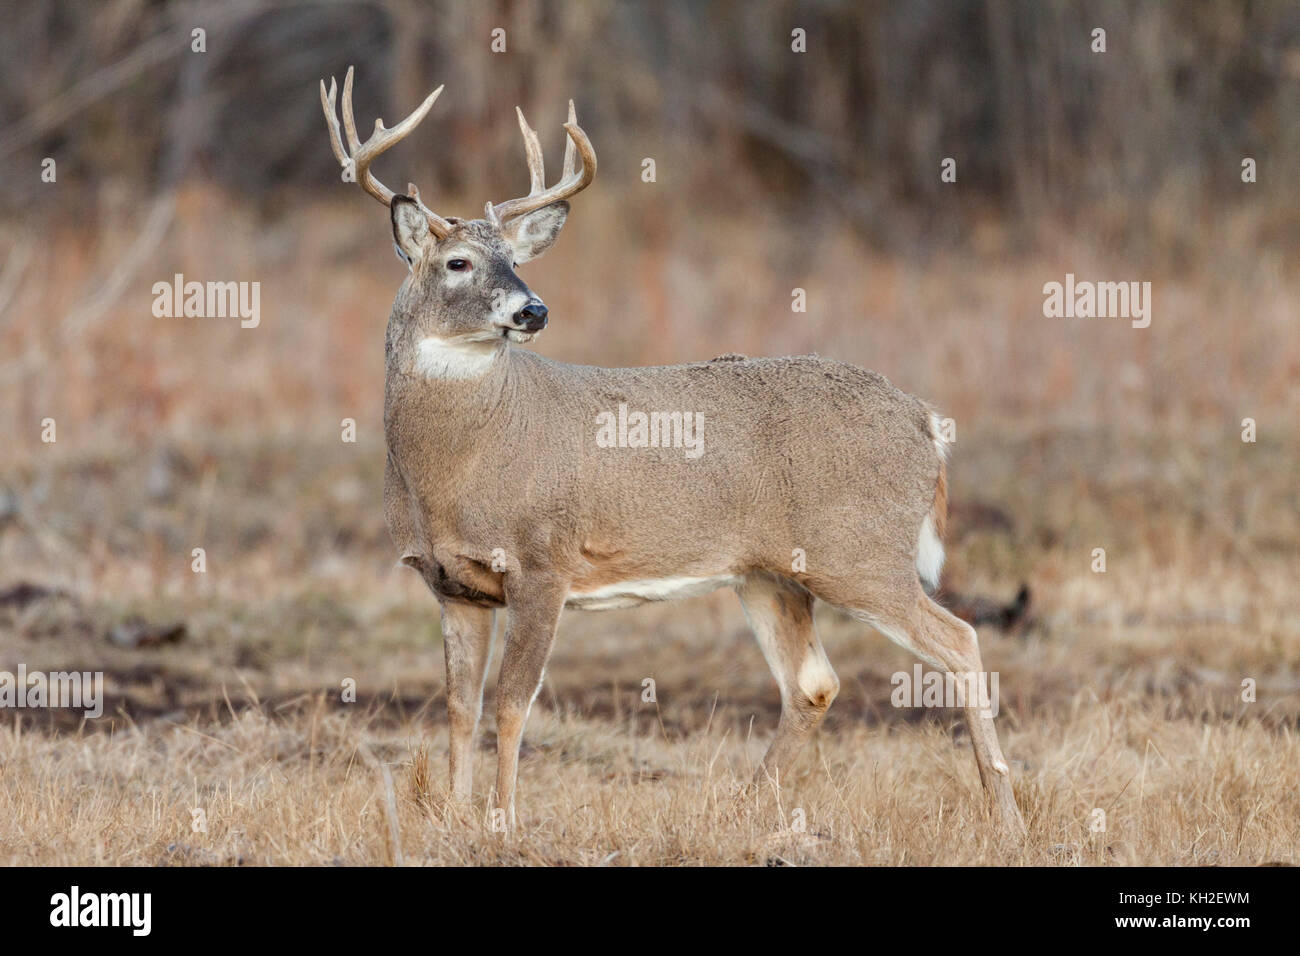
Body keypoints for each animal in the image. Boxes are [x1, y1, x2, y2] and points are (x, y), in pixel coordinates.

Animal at [320, 66, 1027, 838]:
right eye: (458, 261)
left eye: (515, 259)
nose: (532, 310)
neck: (454, 469)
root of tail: (925, 420)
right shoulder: (453, 585)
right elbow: (458, 705)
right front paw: (453, 816)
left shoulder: (544, 561)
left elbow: (511, 702)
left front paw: (503, 820)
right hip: (769, 572)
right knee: (814, 682)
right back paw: (742, 808)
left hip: (860, 552)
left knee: (960, 640)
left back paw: (1004, 813)